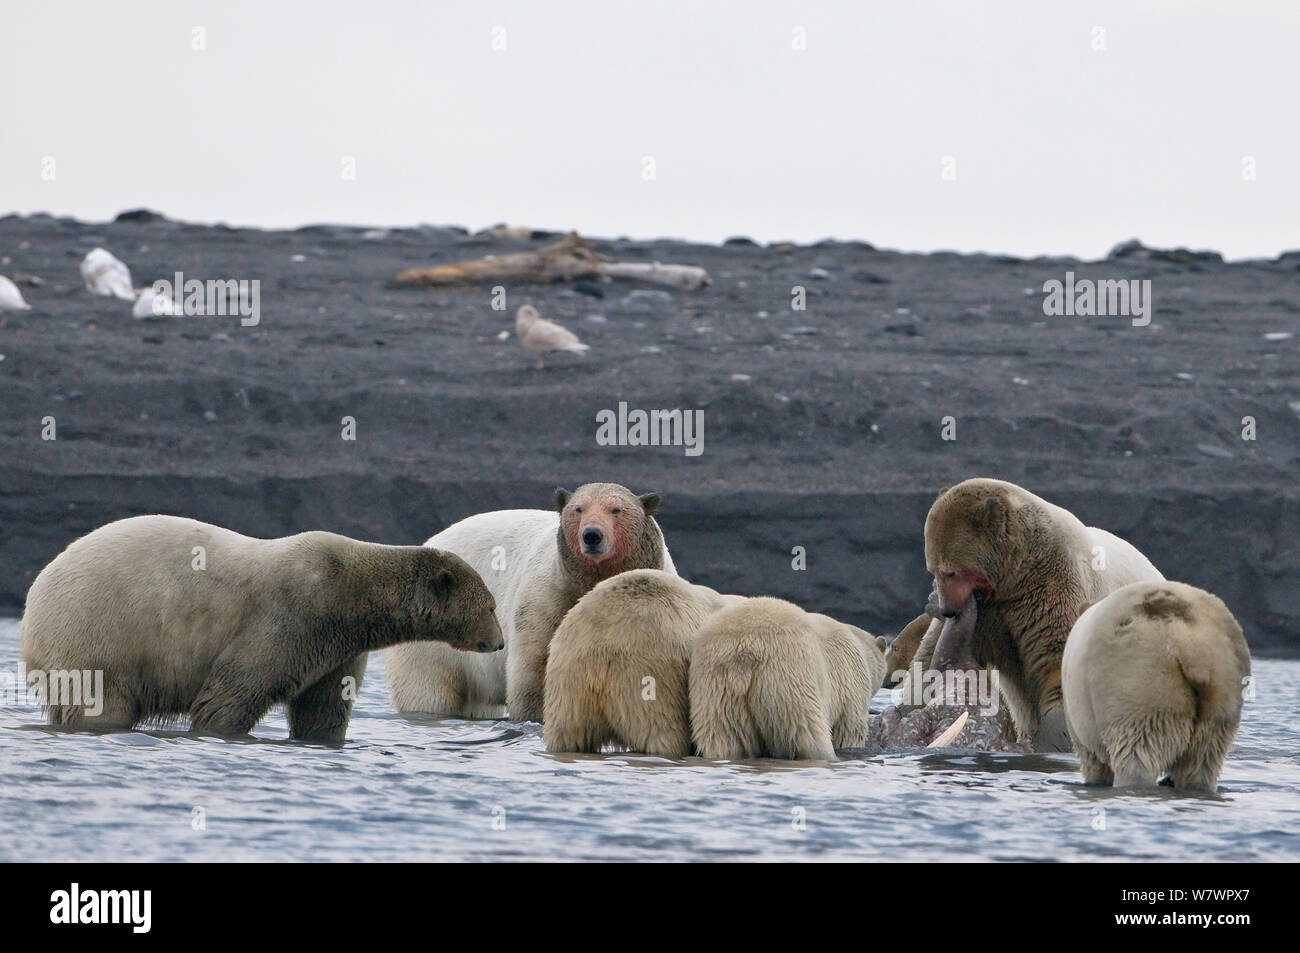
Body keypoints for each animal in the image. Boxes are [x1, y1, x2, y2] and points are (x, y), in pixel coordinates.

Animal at [19, 515, 502, 743]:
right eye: (492, 605)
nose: (499, 643)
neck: (352, 592)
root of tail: (33, 599)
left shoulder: (338, 648)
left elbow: (323, 705)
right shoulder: (293, 614)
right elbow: (233, 691)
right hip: (95, 640)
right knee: (101, 701)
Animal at [383, 483, 675, 721]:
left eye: (616, 509)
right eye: (578, 509)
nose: (592, 535)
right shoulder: (546, 597)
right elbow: (535, 666)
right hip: (437, 641)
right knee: (429, 691)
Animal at [689, 597, 888, 761]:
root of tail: (744, 652)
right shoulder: (850, 688)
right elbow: (848, 732)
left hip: (716, 688)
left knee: (724, 737)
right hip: (788, 679)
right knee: (807, 732)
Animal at [922, 478, 1163, 751]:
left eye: (950, 571)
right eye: (932, 568)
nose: (947, 609)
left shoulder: (1055, 588)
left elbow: (1056, 658)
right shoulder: (991, 614)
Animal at [1061, 581, 1250, 792]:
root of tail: (1187, 639)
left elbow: (1092, 760)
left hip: (1140, 679)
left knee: (1137, 750)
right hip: (1223, 681)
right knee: (1205, 757)